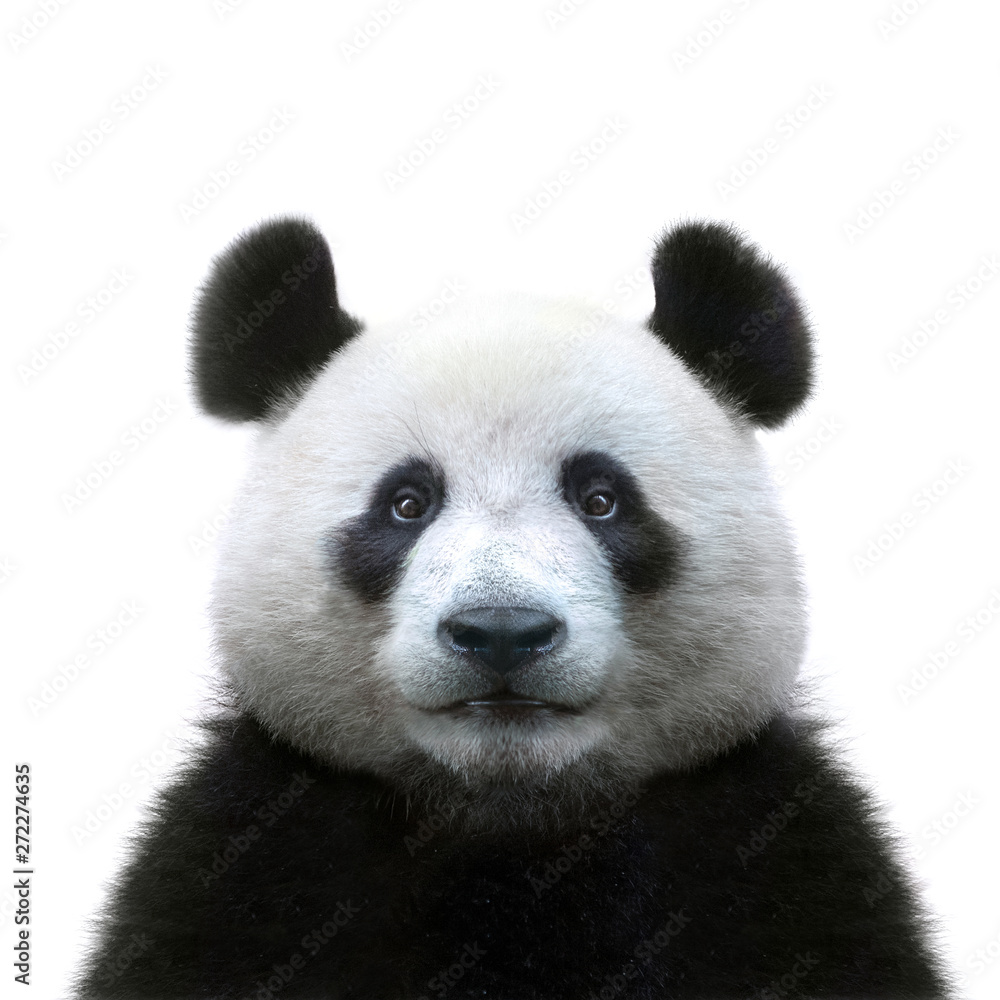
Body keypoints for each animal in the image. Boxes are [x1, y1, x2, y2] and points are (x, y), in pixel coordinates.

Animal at [76, 217, 953, 999]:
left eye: (601, 499)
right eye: (407, 503)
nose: (502, 633)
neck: (510, 826)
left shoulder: (770, 853)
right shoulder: (253, 855)